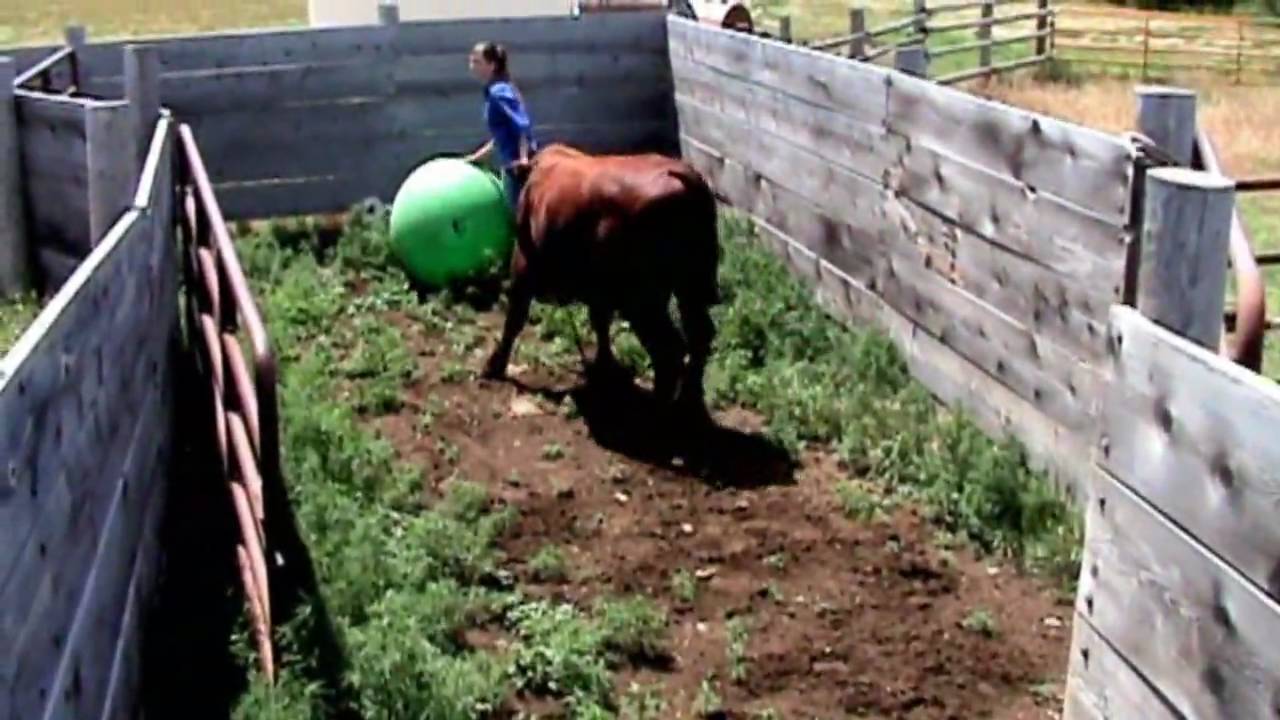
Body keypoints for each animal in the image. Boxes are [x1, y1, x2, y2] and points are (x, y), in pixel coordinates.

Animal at [480, 143, 722, 432]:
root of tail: (682, 175)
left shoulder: (522, 272)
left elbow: (513, 322)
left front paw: (494, 365)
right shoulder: (599, 292)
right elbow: (600, 323)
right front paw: (604, 368)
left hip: (643, 303)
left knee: (669, 350)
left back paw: (654, 413)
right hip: (689, 289)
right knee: (700, 336)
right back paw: (690, 404)